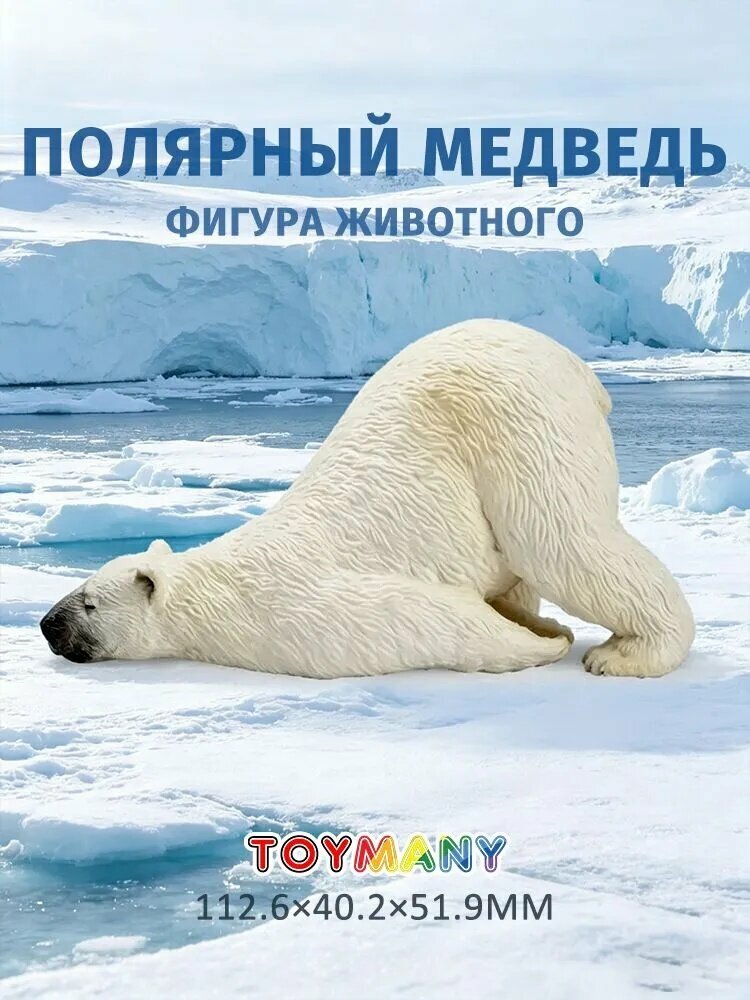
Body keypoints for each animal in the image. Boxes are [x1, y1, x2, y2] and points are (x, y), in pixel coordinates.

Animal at [40, 319, 694, 679]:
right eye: (77, 588)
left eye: (90, 604)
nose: (47, 624)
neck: (216, 592)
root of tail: (576, 366)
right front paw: (543, 628)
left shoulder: (299, 615)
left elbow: (431, 620)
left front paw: (549, 642)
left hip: (520, 424)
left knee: (564, 542)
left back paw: (625, 654)